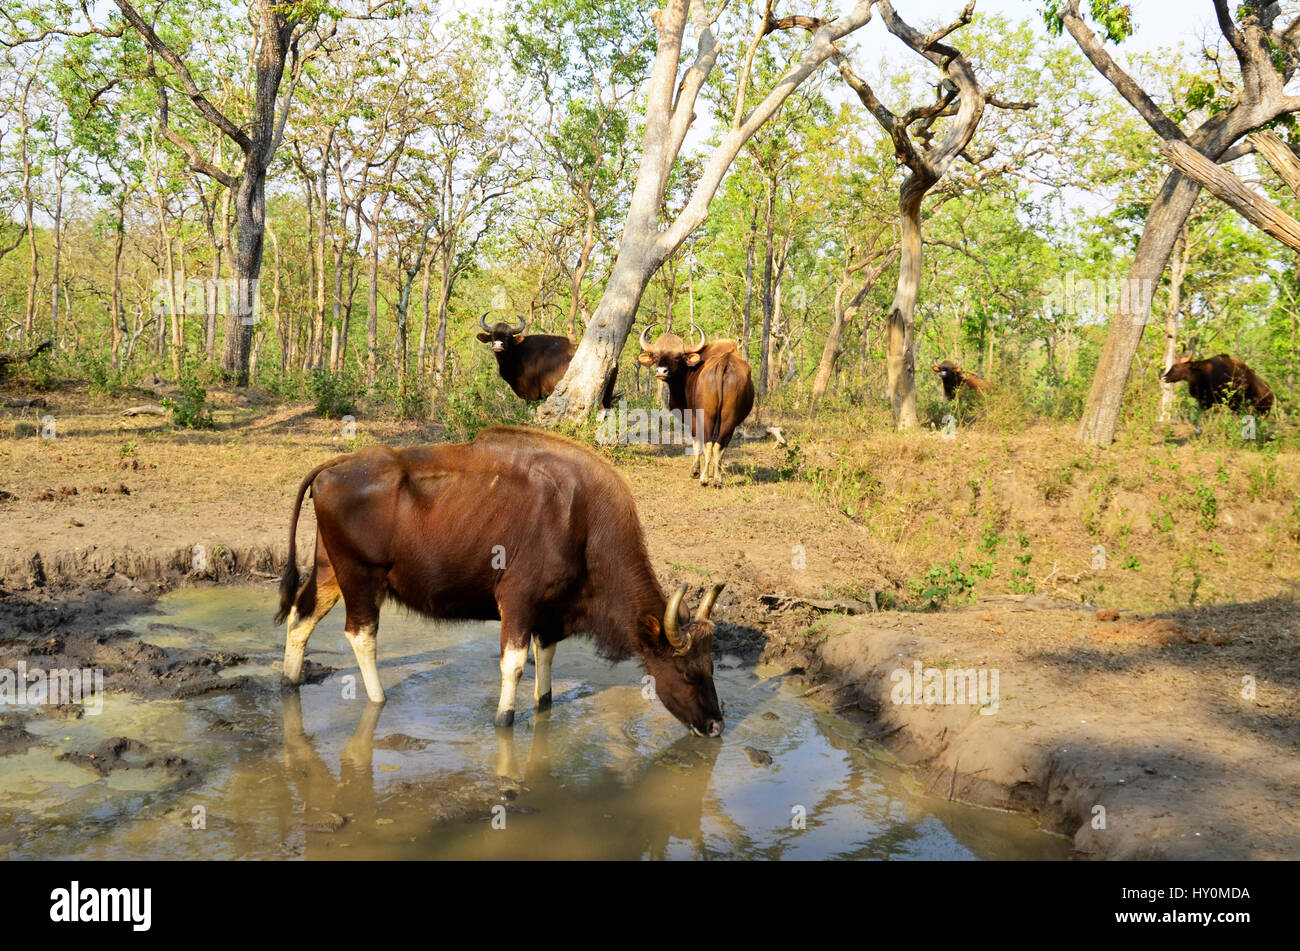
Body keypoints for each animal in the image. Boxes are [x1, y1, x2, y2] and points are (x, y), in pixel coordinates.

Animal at [275, 426, 727, 737]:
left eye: (711, 669)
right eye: (687, 673)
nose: (716, 725)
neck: (581, 520)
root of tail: (335, 466)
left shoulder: (550, 612)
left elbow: (545, 661)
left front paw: (543, 703)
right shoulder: (518, 601)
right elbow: (514, 664)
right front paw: (504, 716)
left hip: (329, 570)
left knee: (301, 615)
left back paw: (289, 681)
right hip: (360, 577)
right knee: (361, 634)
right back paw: (378, 698)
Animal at [477, 314, 616, 409]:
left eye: (508, 337)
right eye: (492, 336)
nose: (498, 345)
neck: (517, 356)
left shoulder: (532, 396)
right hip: (607, 395)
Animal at [636, 323, 755, 486]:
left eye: (677, 356)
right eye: (655, 355)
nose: (661, 371)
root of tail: (723, 363)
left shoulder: (691, 416)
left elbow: (696, 441)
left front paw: (695, 471)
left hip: (707, 417)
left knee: (708, 443)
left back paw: (704, 478)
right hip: (729, 419)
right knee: (719, 444)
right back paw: (717, 479)